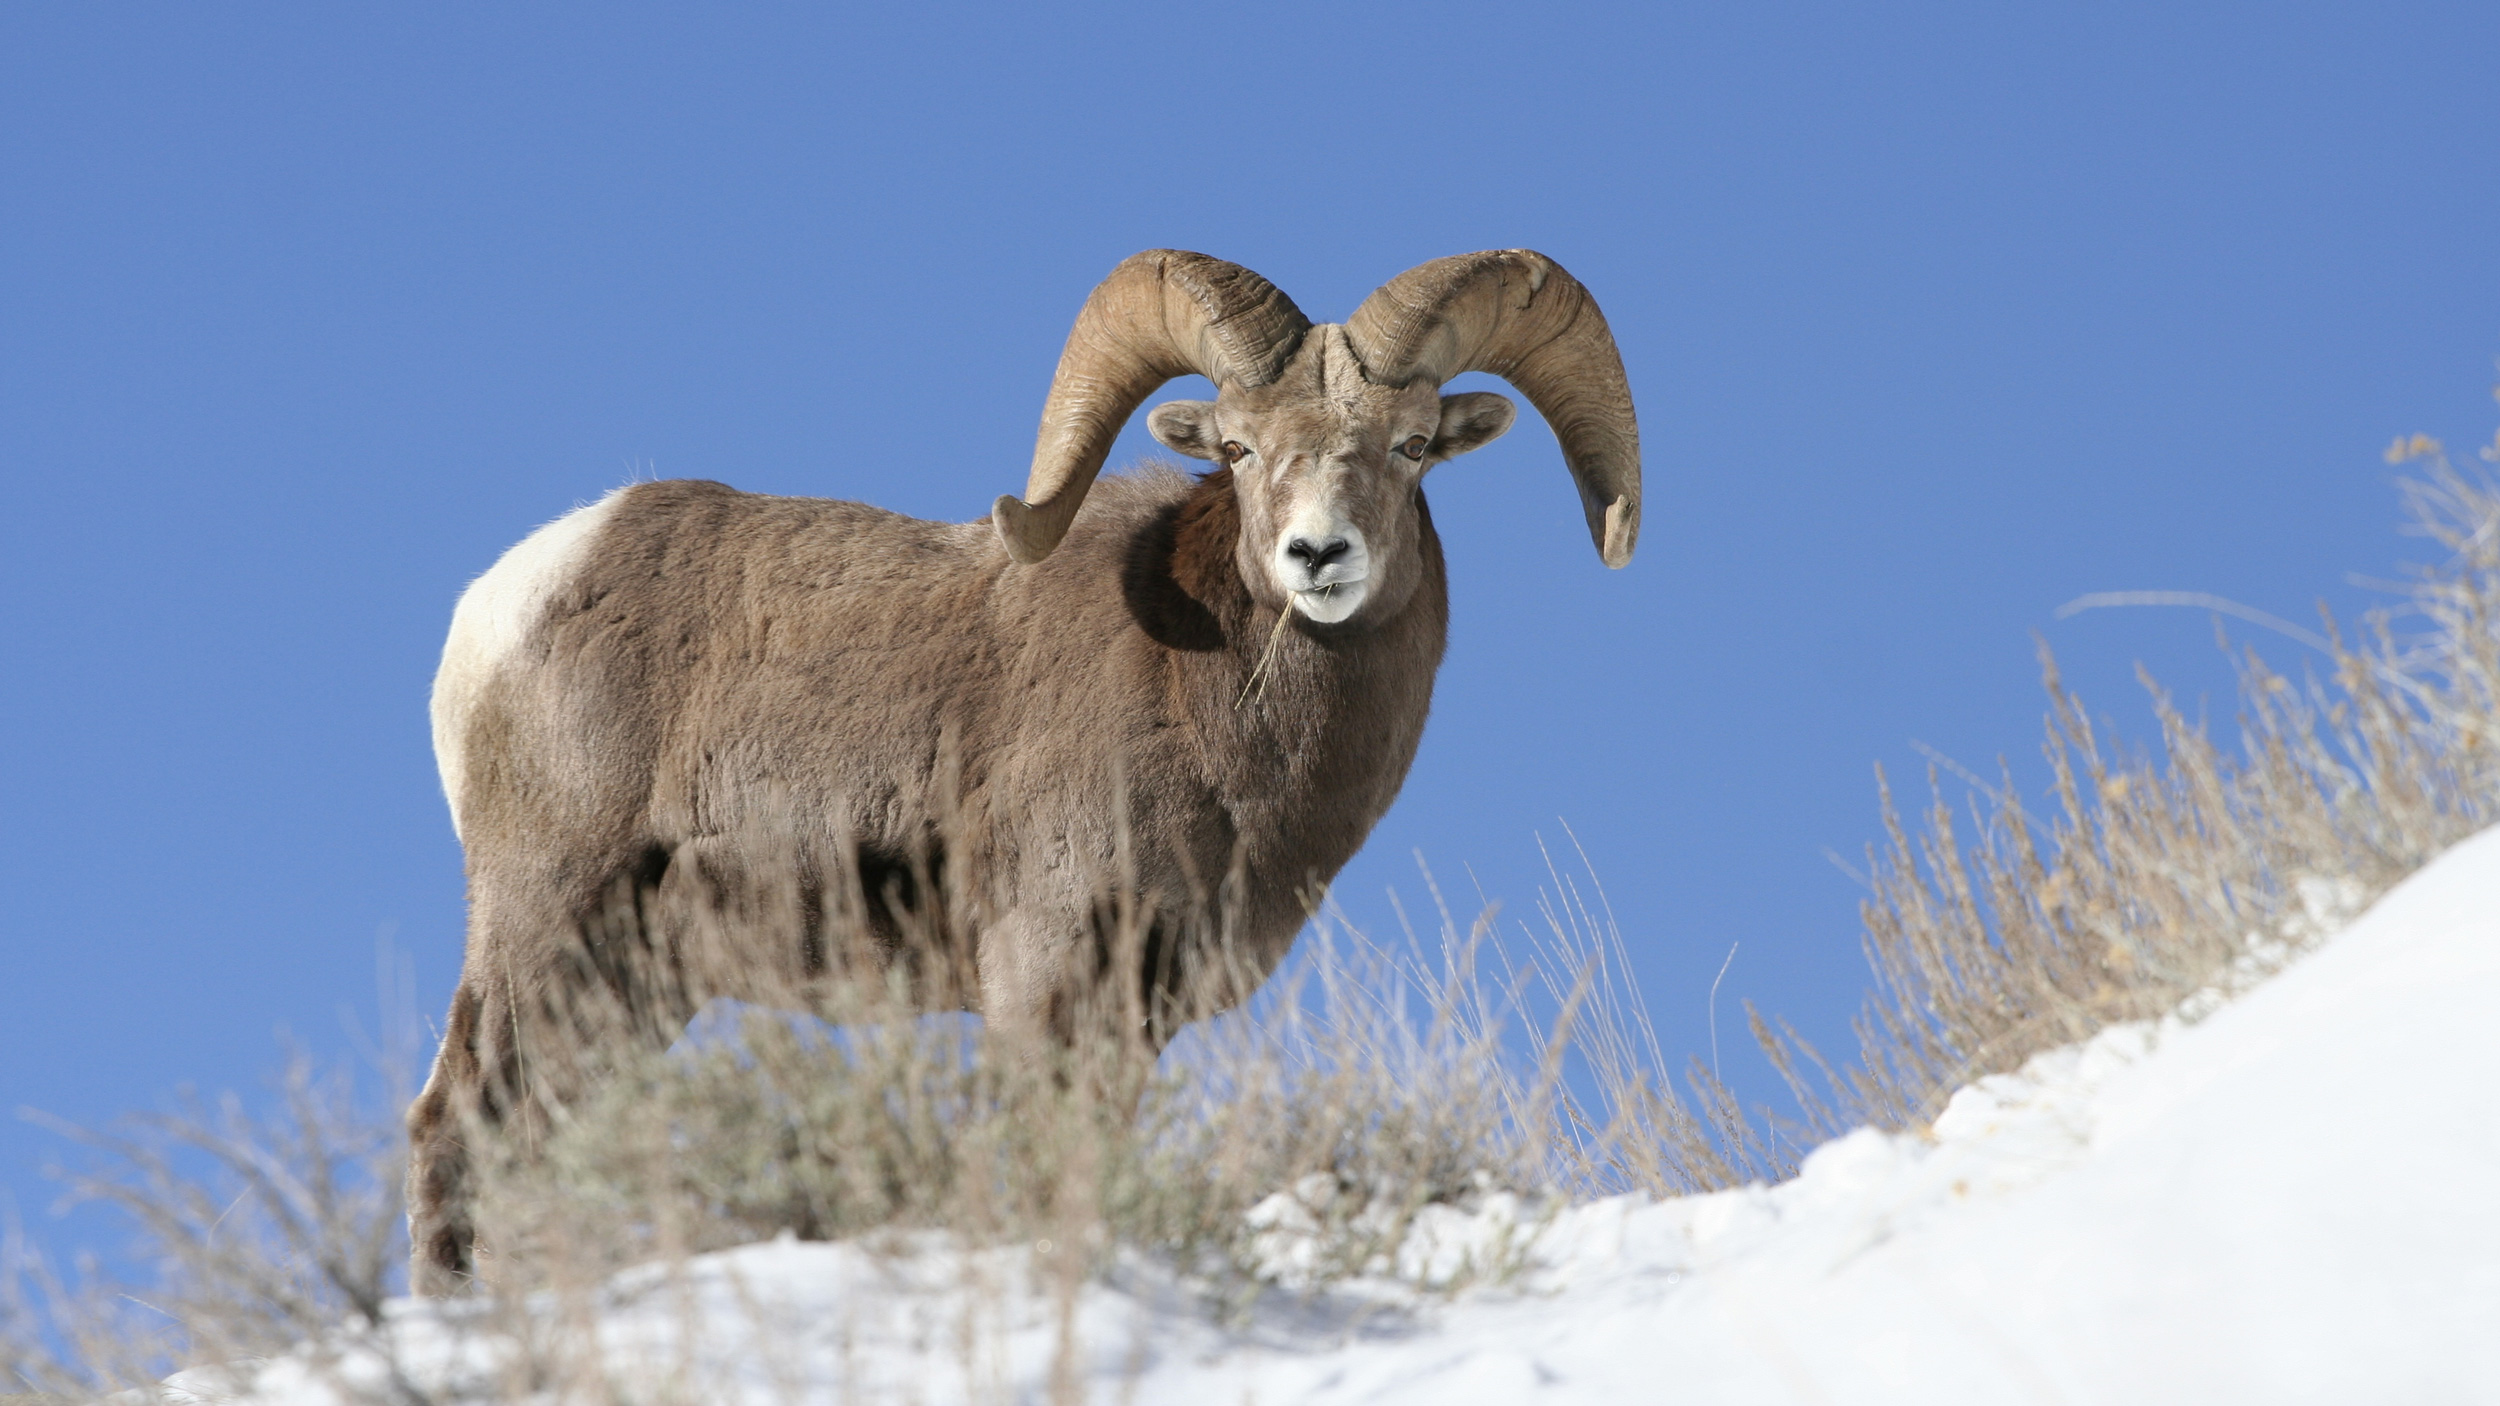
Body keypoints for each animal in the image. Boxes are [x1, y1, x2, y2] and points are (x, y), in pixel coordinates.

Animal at [406, 249, 1643, 1293]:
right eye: (1237, 448)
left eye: (1411, 443)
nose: (1318, 556)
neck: (1212, 710)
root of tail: (502, 604)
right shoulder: (1043, 969)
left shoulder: (1138, 1014)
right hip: (544, 925)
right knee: (457, 1126)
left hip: (628, 985)